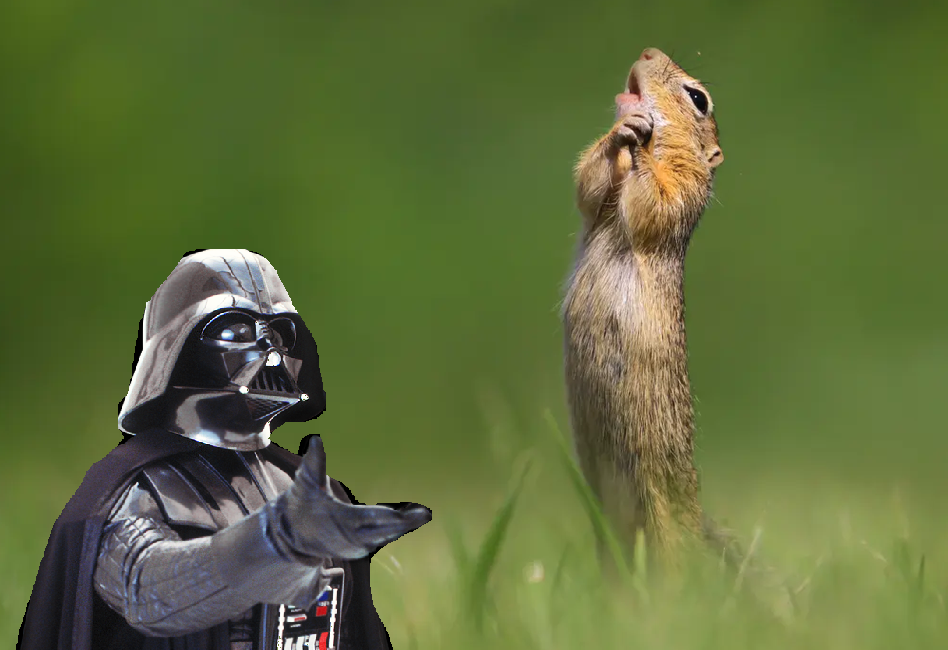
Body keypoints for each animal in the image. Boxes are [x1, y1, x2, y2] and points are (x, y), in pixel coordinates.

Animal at [562, 47, 727, 571]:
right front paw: (622, 132)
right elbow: (589, 185)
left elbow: (656, 201)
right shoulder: (597, 200)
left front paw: (638, 138)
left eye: (699, 98)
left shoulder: (684, 188)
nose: (648, 51)